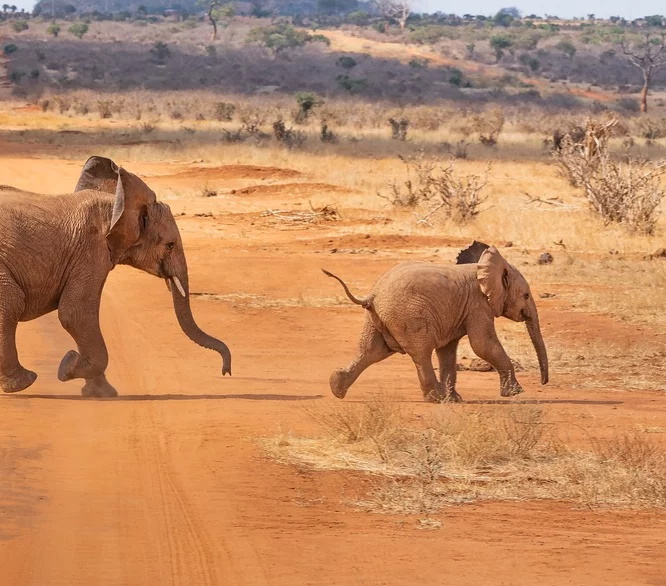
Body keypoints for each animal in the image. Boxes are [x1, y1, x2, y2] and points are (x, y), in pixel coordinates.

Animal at [0, 156, 231, 397]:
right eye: (170, 245)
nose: (226, 371)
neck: (116, 204)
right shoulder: (91, 250)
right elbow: (76, 313)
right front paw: (68, 366)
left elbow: (79, 315)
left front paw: (100, 393)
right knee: (11, 303)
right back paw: (23, 382)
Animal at [322, 241, 548, 402]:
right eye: (526, 295)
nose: (544, 383)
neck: (484, 267)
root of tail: (373, 295)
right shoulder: (479, 305)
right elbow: (482, 344)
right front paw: (516, 393)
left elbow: (448, 351)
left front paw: (455, 400)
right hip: (409, 316)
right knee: (420, 353)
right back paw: (436, 398)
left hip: (377, 318)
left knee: (370, 352)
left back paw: (336, 388)